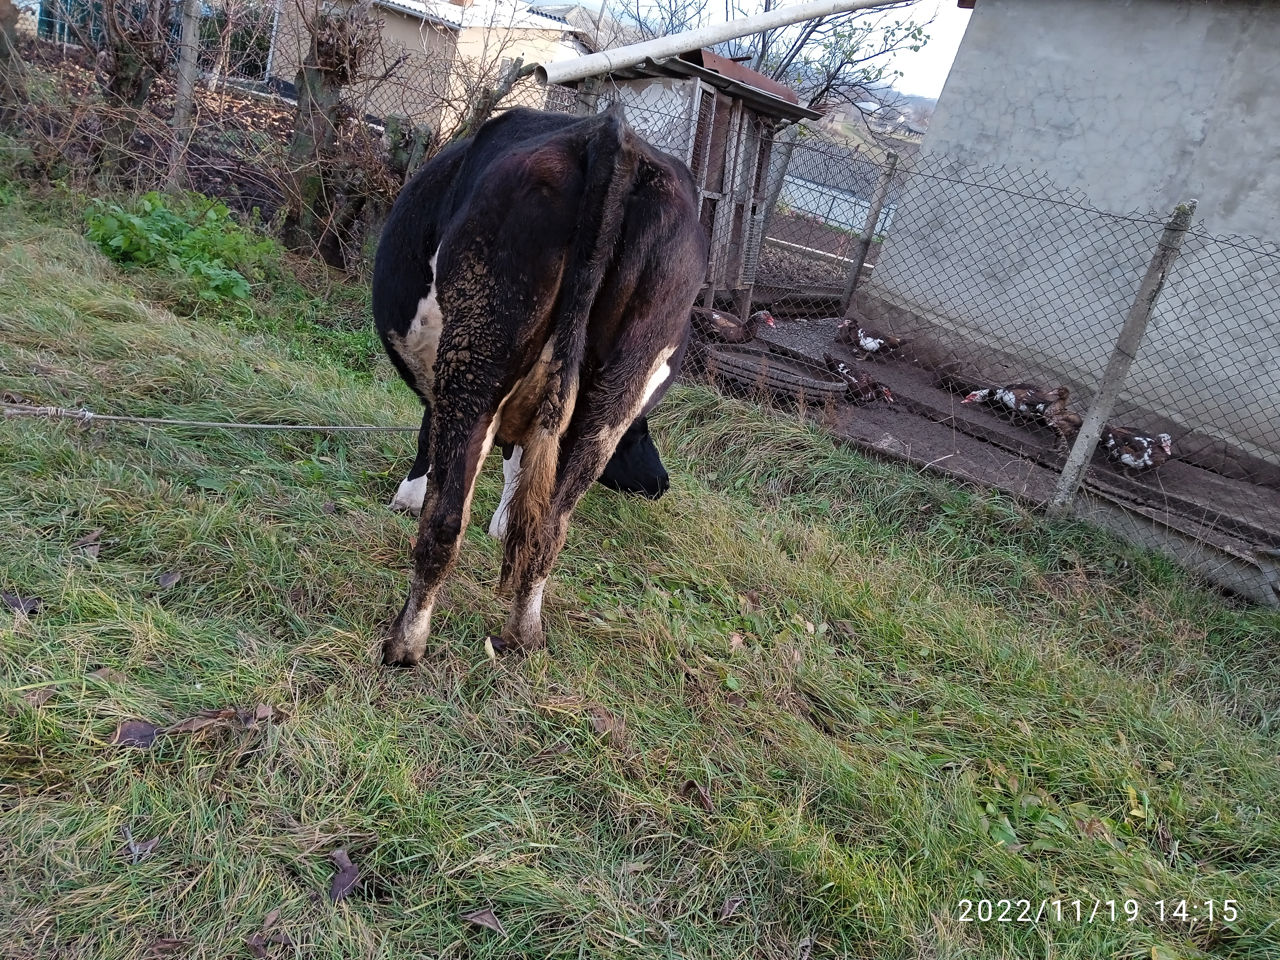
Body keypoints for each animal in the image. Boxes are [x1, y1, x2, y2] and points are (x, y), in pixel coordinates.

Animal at [373, 106, 706, 665]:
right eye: (640, 437)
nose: (662, 484)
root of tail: (615, 135)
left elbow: (429, 439)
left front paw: (410, 496)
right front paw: (503, 522)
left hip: (476, 352)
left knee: (445, 522)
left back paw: (404, 643)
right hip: (610, 396)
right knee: (549, 530)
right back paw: (522, 637)